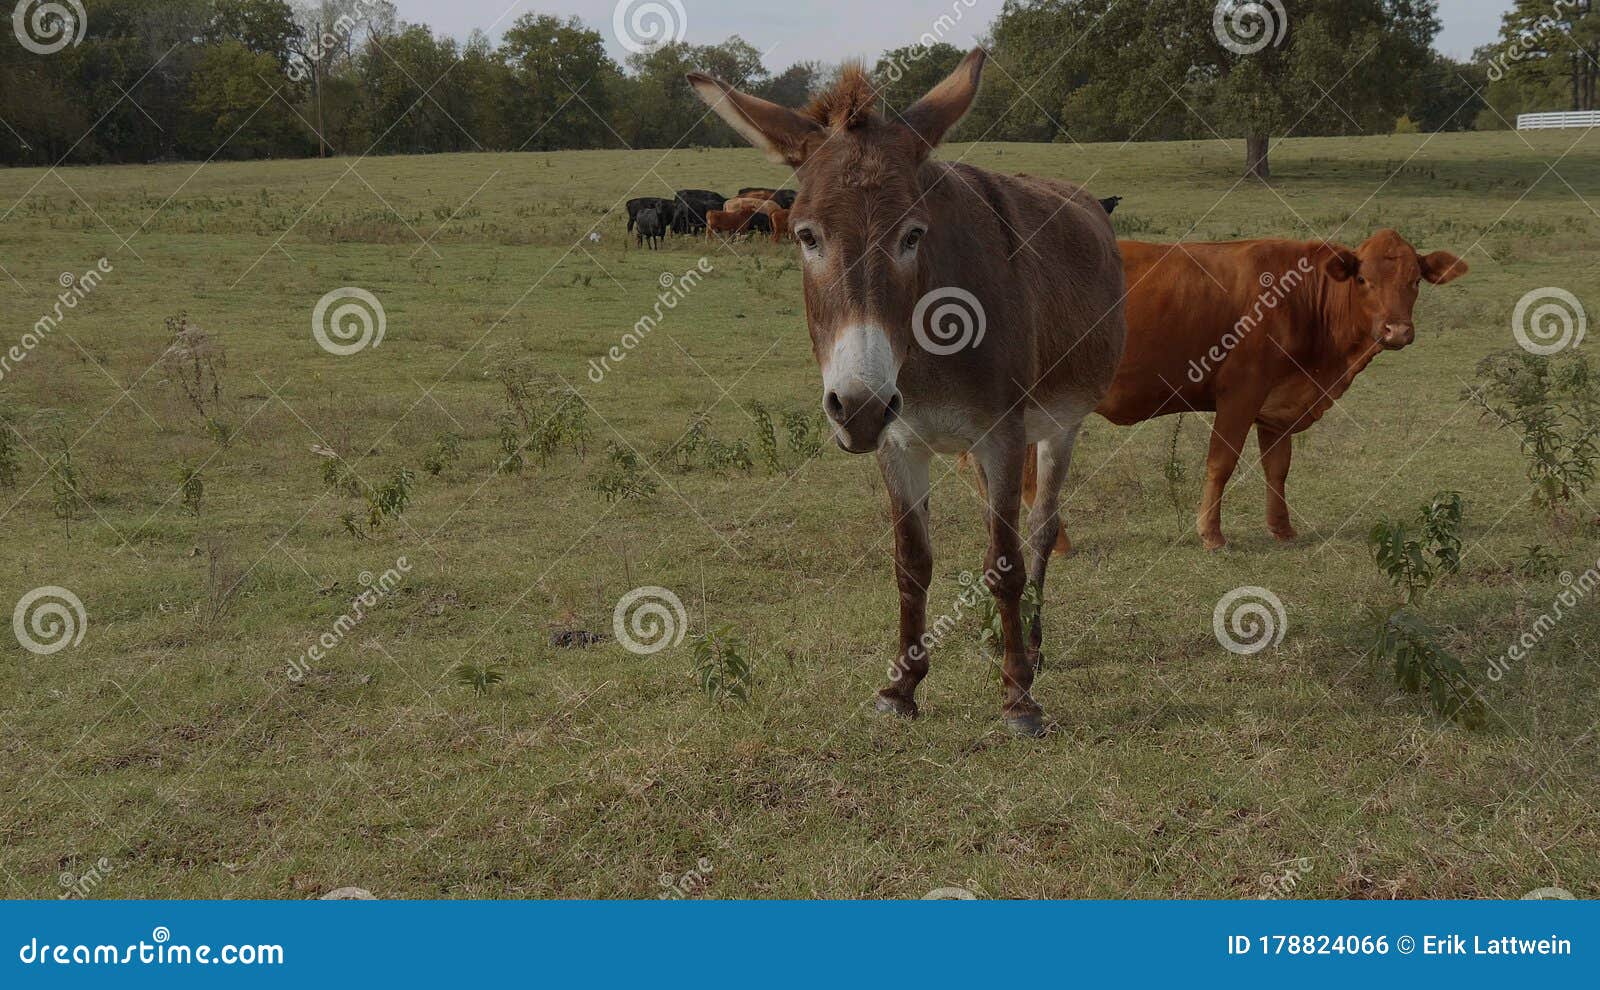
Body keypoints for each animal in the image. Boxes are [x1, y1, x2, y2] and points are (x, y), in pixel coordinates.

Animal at [982, 229, 1469, 554]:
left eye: (1415, 280)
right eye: (1363, 279)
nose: (1397, 331)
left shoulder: (1278, 405)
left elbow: (1278, 468)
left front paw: (1282, 530)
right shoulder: (1240, 392)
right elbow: (1221, 463)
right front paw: (1212, 534)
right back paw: (1057, 542)